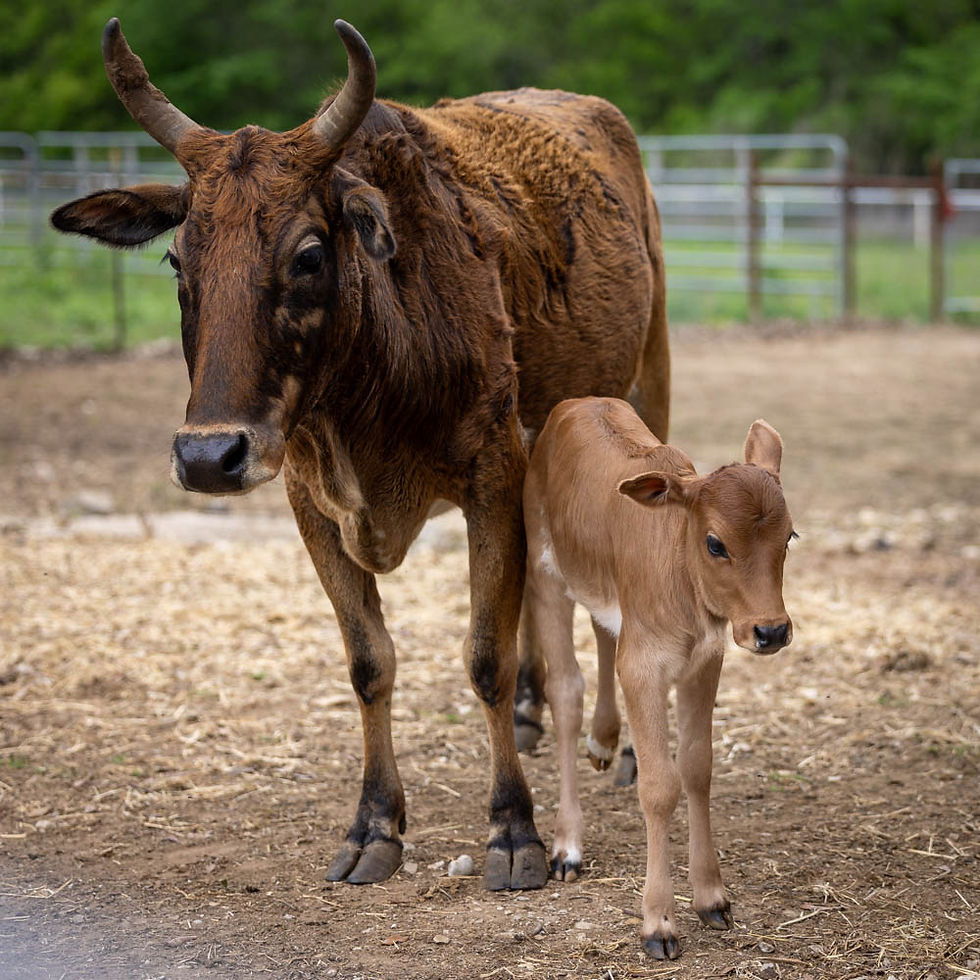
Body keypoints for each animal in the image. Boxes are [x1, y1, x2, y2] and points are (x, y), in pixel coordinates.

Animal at [50, 20, 670, 892]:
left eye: (309, 254)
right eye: (177, 259)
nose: (208, 457)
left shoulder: (492, 477)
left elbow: (484, 655)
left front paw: (515, 830)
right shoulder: (311, 503)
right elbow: (370, 661)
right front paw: (376, 824)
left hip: (646, 391)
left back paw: (621, 745)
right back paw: (536, 710)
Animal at [523, 397, 794, 957]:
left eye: (790, 536)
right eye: (715, 543)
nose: (772, 630)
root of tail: (577, 403)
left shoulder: (704, 662)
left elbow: (697, 767)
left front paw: (711, 896)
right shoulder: (645, 667)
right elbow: (659, 785)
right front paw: (658, 921)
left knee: (604, 636)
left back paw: (604, 741)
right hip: (545, 574)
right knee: (566, 691)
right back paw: (567, 845)